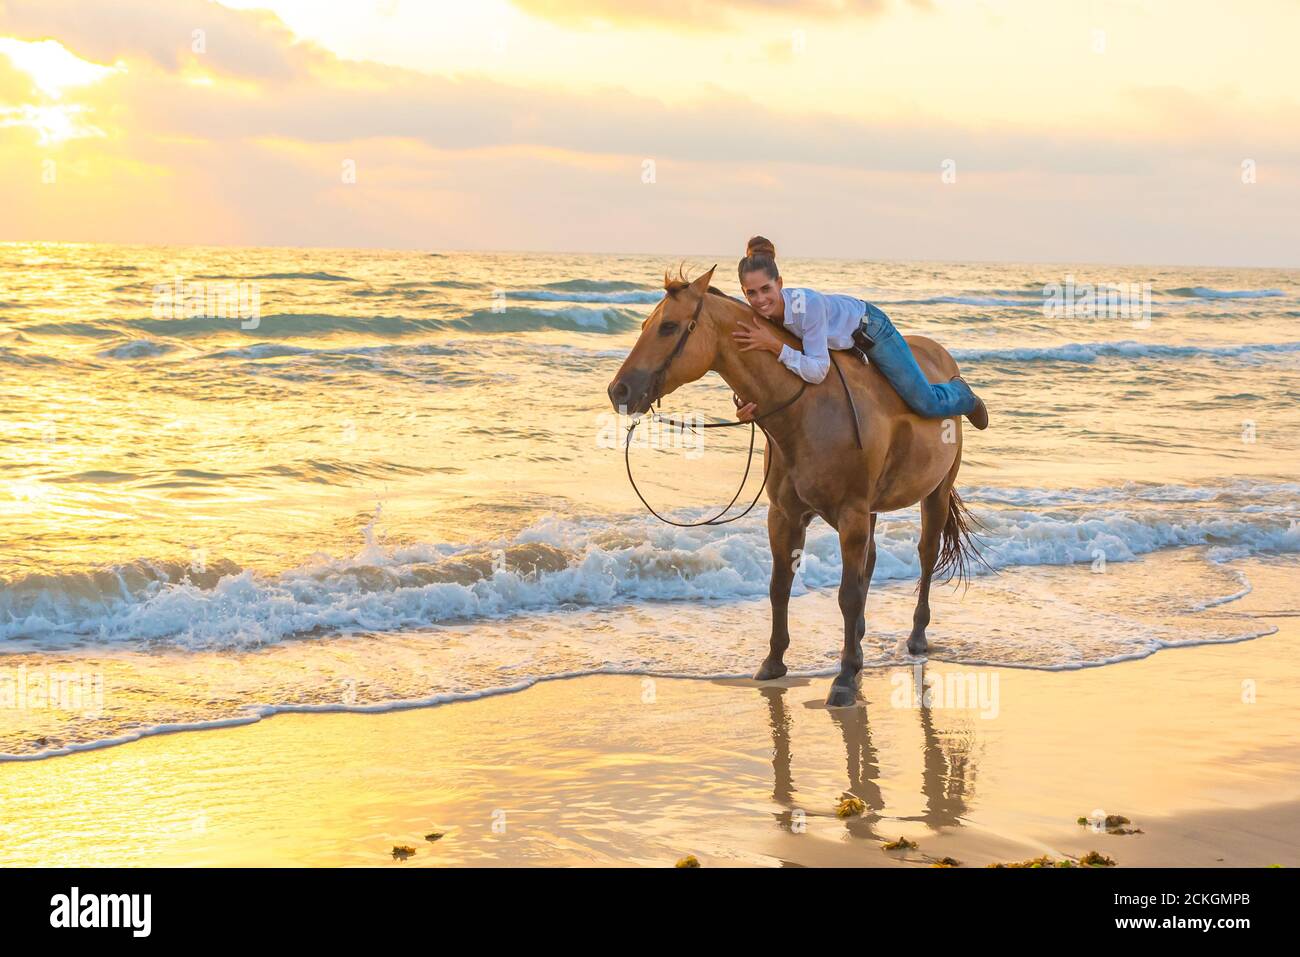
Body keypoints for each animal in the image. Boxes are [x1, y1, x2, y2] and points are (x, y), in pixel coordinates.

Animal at [606, 265, 985, 707]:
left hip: (935, 492)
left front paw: (844, 678)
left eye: (668, 327)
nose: (619, 391)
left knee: (926, 555)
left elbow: (847, 594)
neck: (805, 410)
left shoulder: (851, 515)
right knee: (871, 563)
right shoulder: (785, 515)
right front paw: (775, 662)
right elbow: (780, 587)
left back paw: (916, 636)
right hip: (873, 510)